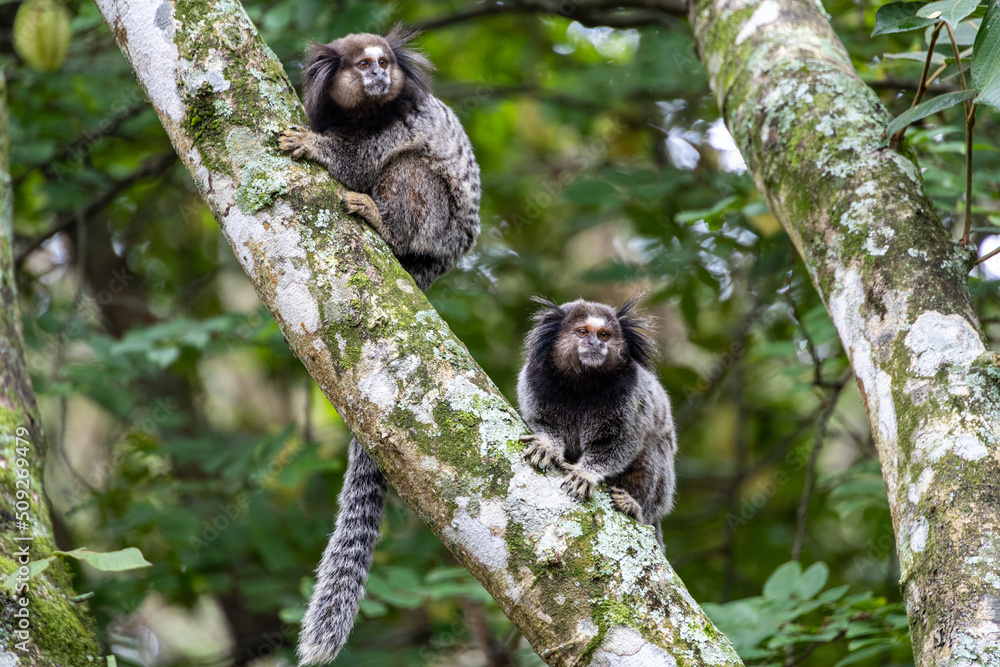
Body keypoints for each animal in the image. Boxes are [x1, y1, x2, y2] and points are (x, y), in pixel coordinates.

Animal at [277, 25, 481, 666]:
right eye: (362, 64)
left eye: (384, 63)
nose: (378, 76)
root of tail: (441, 262)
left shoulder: (401, 121)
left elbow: (362, 159)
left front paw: (319, 149)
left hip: (436, 225)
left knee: (410, 173)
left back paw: (381, 220)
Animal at [517, 296, 677, 547]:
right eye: (583, 332)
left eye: (604, 335)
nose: (595, 344)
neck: (583, 384)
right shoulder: (536, 379)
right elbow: (541, 422)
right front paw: (547, 446)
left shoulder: (630, 392)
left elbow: (620, 443)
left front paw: (586, 474)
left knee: (652, 453)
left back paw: (634, 507)